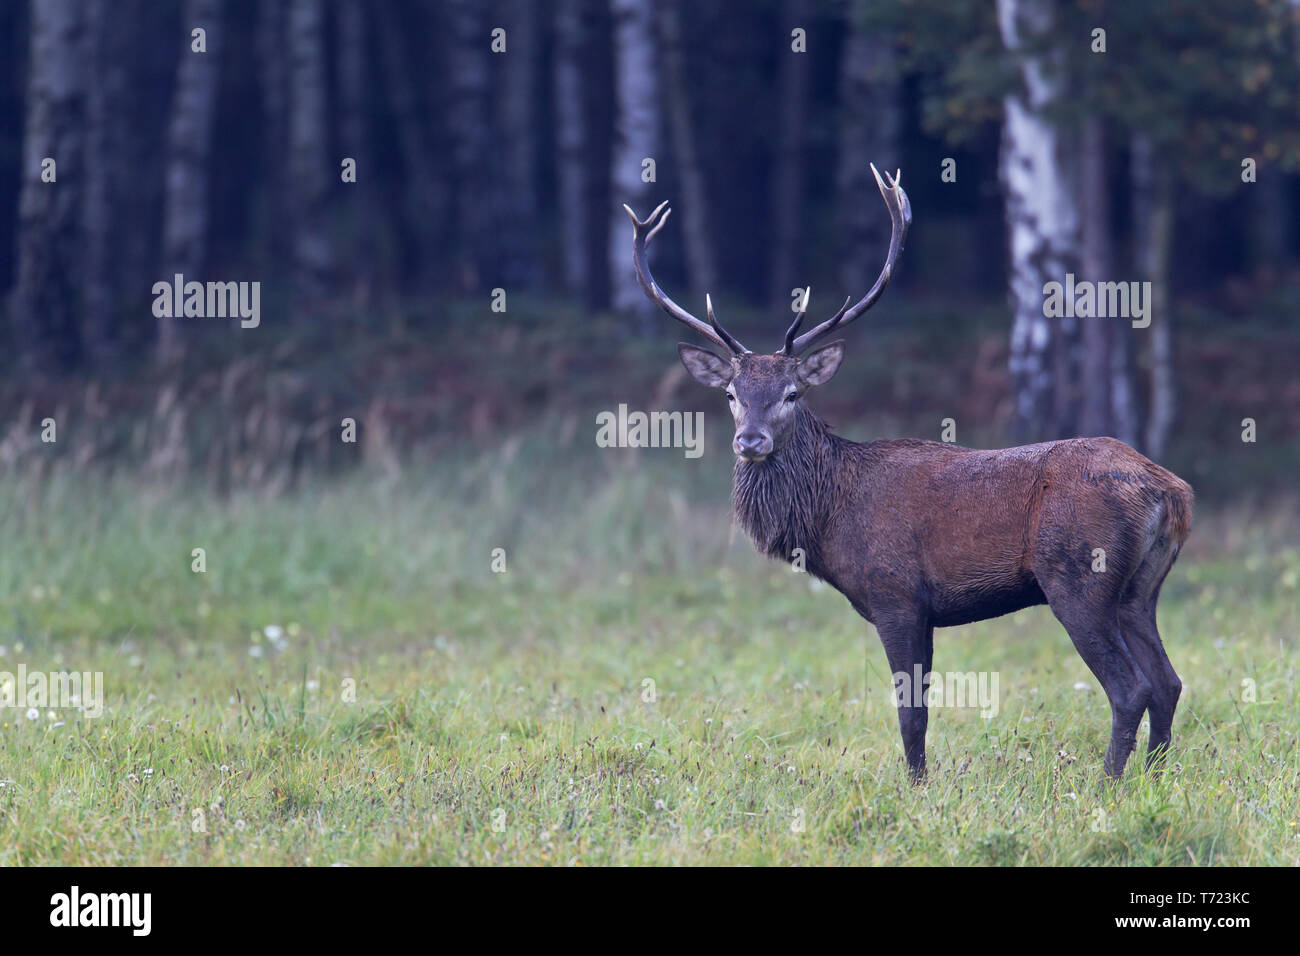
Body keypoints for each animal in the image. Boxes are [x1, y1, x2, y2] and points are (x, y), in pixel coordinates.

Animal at [623, 165, 1193, 781]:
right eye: (731, 393)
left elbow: (910, 711)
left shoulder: (895, 594)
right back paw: (1154, 778)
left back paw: (1107, 784)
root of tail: (1170, 491)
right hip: (1140, 588)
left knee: (1131, 687)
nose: (750, 441)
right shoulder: (924, 612)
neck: (827, 519)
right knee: (1168, 682)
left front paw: (915, 787)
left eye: (792, 392)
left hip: (1079, 576)